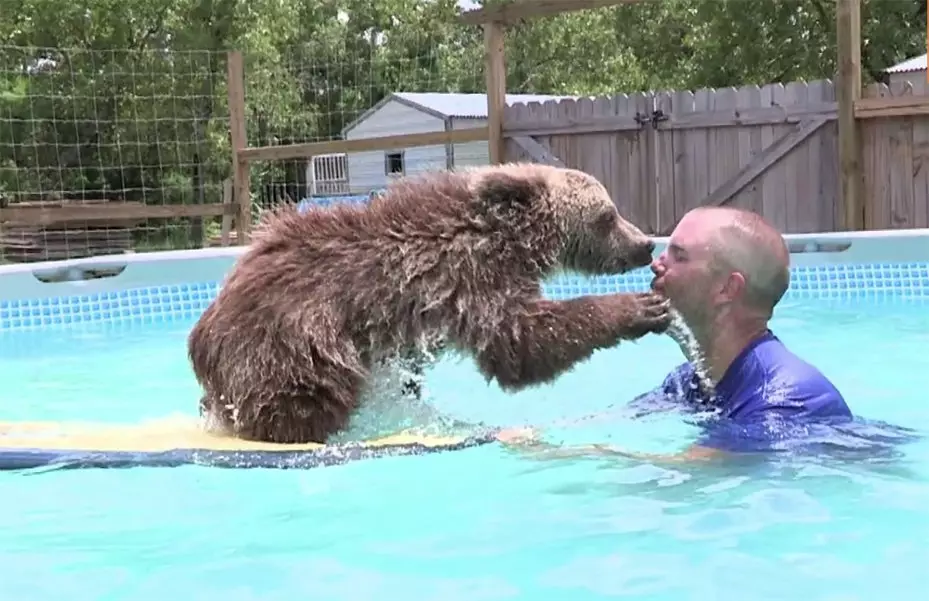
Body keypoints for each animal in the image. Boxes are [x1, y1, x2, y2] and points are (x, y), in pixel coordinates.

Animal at [188, 162, 668, 442]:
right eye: (607, 215)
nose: (645, 245)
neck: (509, 242)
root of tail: (204, 335)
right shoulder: (474, 281)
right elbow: (523, 344)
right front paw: (638, 308)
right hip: (290, 348)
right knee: (304, 403)